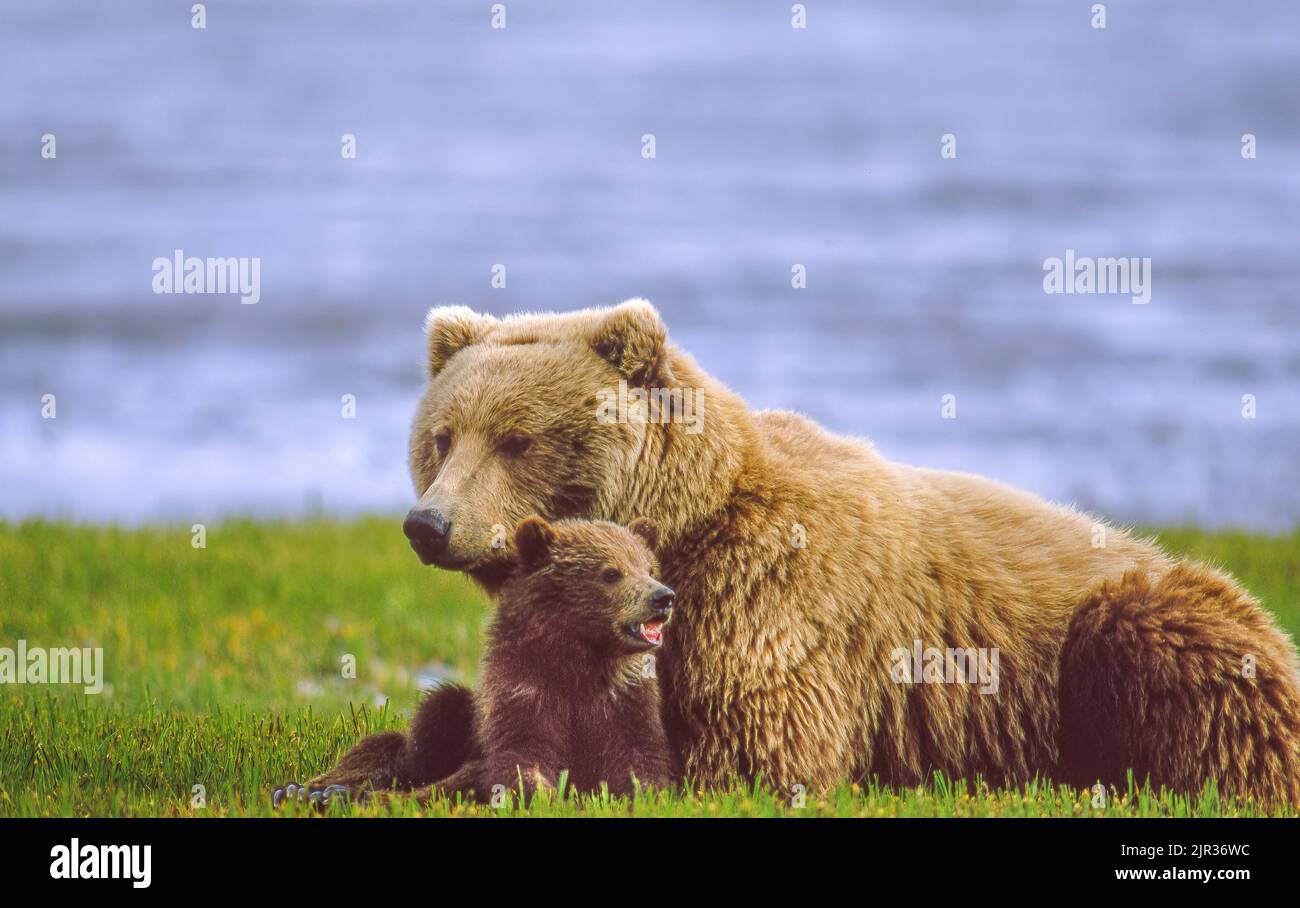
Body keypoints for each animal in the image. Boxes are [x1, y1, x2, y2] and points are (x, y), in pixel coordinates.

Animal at [279, 515, 674, 808]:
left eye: (648, 567)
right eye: (611, 573)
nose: (663, 597)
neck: (582, 657)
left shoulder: (623, 701)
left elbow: (639, 762)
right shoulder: (523, 690)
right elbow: (520, 757)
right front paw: (548, 795)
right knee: (421, 730)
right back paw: (313, 790)